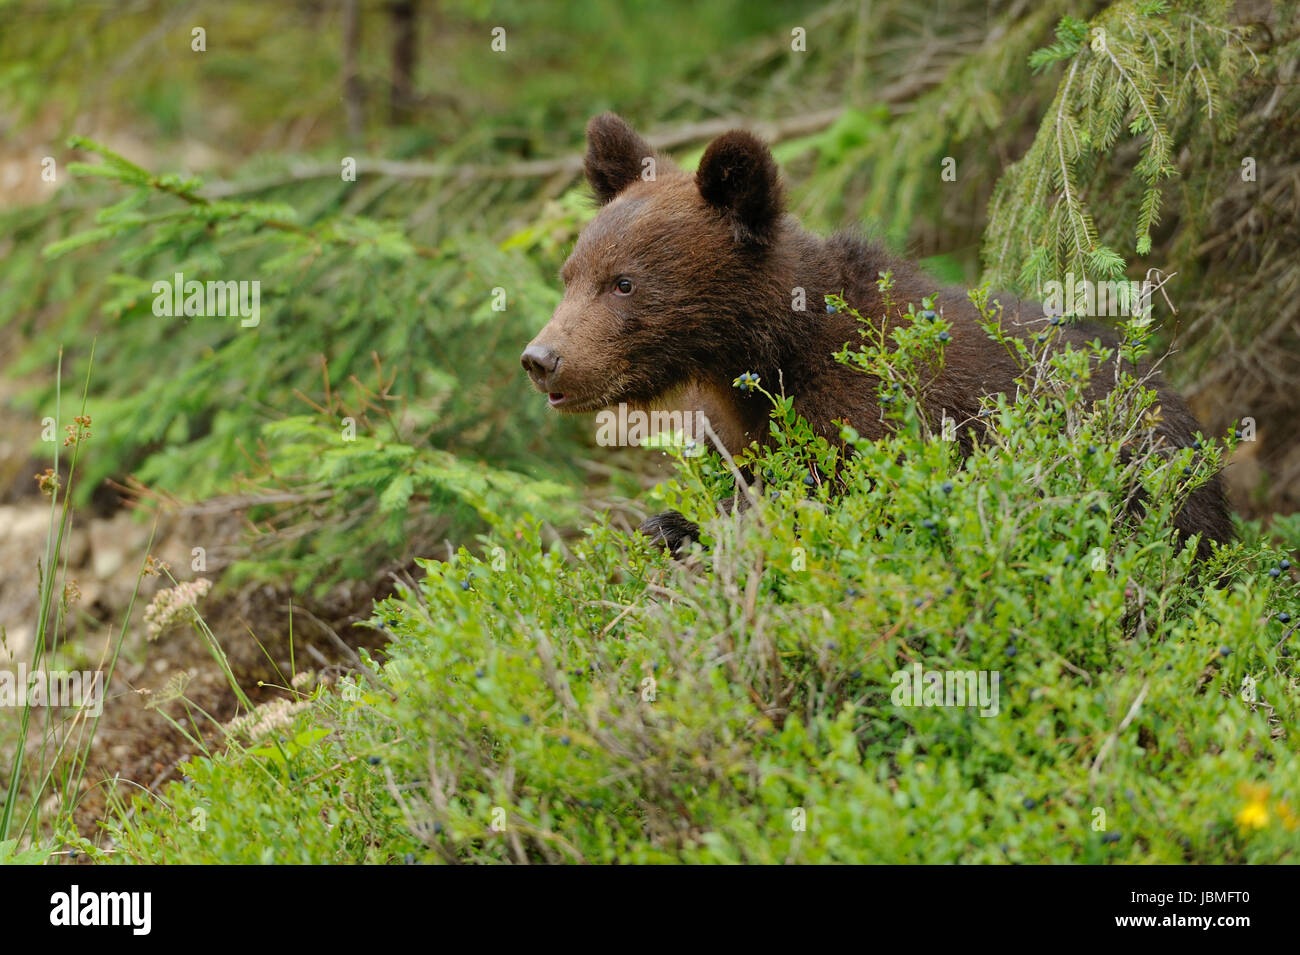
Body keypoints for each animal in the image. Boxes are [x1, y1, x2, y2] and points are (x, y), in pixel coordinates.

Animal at [521, 113, 1234, 560]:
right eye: (570, 275)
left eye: (624, 283)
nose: (541, 358)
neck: (771, 349)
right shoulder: (745, 421)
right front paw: (669, 525)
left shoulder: (875, 410)